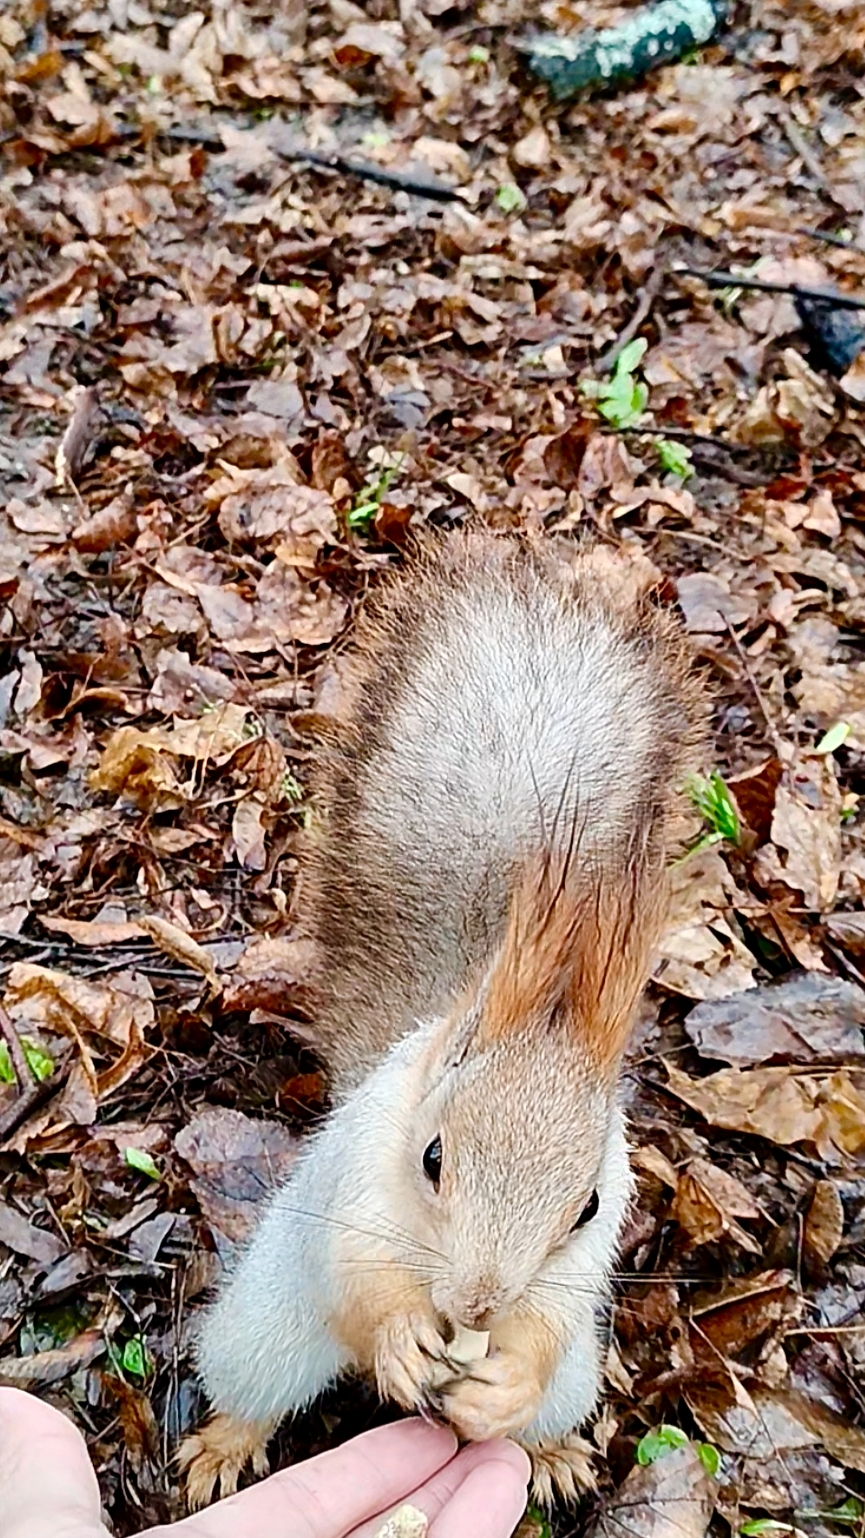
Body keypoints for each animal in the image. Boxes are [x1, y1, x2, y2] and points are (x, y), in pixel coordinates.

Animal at [179, 529, 707, 1509]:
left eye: (586, 1206)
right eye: (430, 1158)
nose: (475, 1307)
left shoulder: (579, 1262)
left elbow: (548, 1320)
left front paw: (506, 1379)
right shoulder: (352, 1187)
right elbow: (356, 1278)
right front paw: (397, 1336)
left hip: (577, 1381)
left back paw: (550, 1452)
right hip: (265, 1330)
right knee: (256, 1382)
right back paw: (226, 1443)